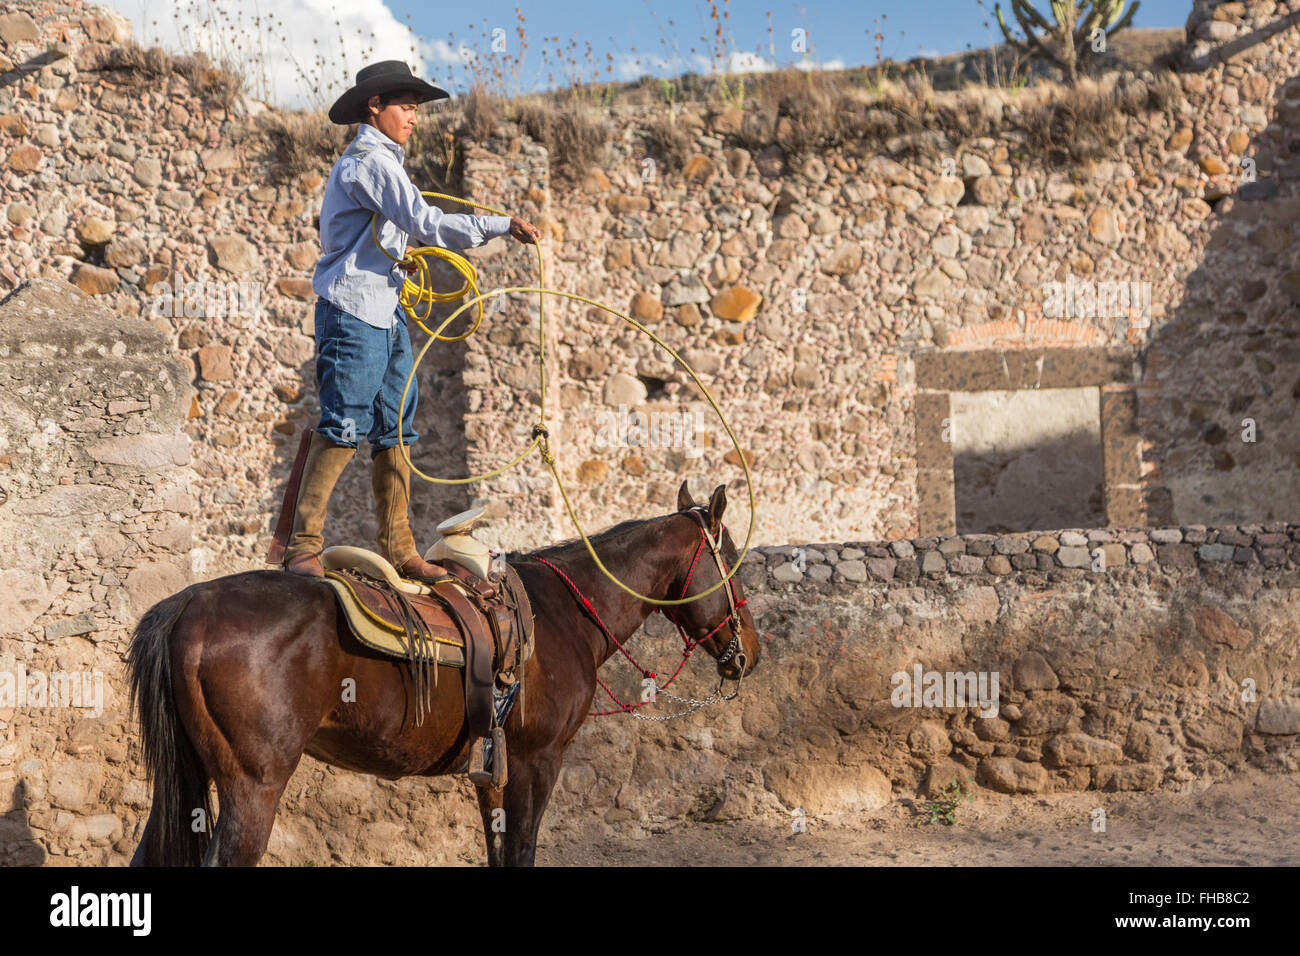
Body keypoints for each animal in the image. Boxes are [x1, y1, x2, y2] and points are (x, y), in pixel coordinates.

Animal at [126, 480, 760, 866]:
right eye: (730, 558)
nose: (749, 652)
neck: (561, 612)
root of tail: (190, 605)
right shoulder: (537, 762)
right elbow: (522, 851)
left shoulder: (494, 769)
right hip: (253, 785)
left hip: (186, 781)